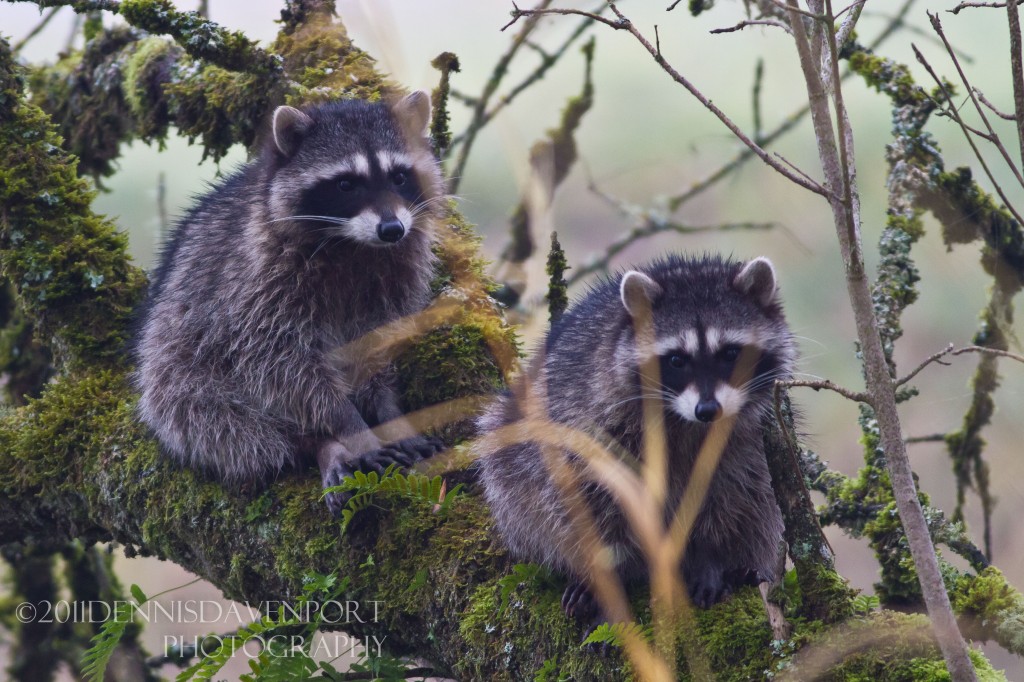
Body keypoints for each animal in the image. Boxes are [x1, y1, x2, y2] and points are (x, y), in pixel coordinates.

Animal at [134, 91, 446, 516]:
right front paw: (348, 424)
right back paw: (320, 444)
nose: (392, 229)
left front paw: (388, 410)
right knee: (213, 416)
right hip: (170, 369)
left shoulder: (396, 274)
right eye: (345, 184)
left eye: (399, 176)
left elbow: (379, 344)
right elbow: (279, 360)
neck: (353, 244)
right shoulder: (258, 281)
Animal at [477, 254, 794, 618]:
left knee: (760, 501)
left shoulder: (747, 437)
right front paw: (608, 571)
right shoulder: (593, 418)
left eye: (730, 354)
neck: (689, 423)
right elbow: (592, 495)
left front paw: (711, 558)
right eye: (676, 360)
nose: (708, 410)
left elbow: (733, 493)